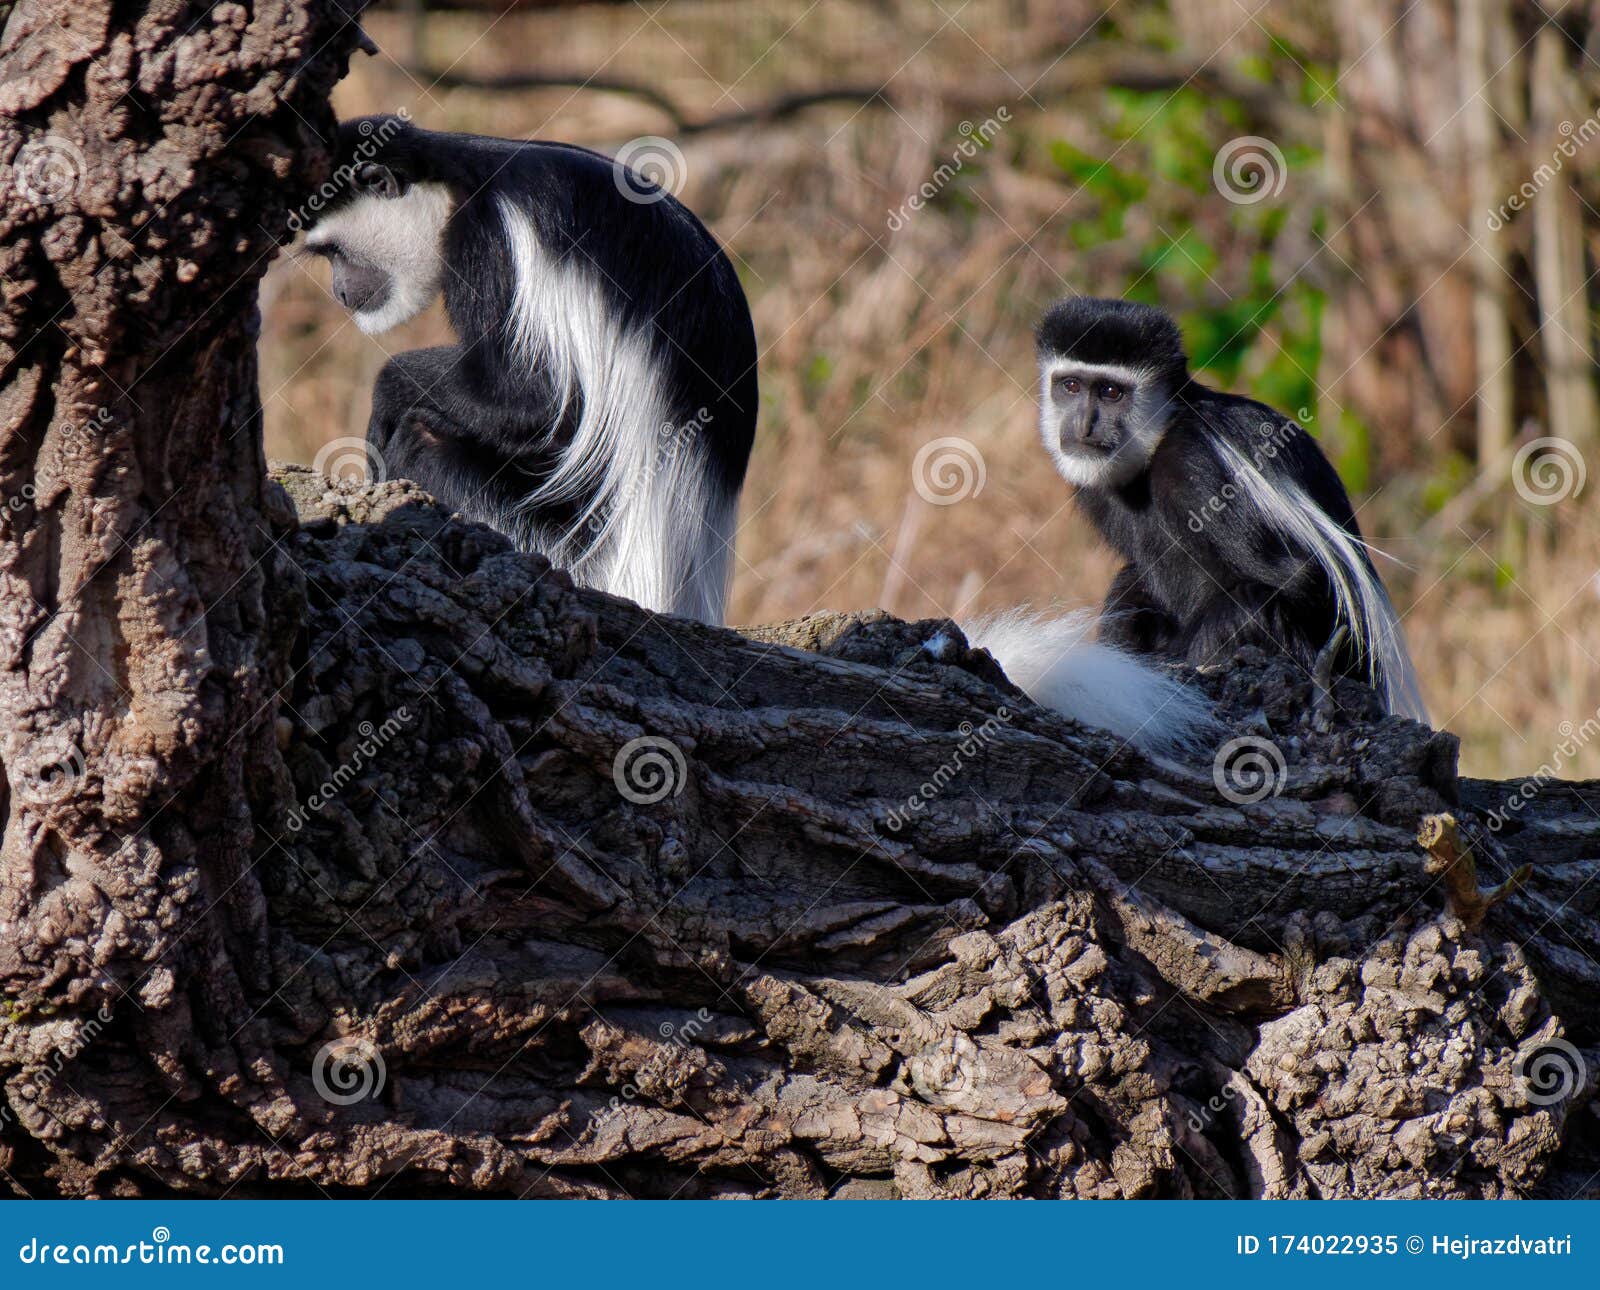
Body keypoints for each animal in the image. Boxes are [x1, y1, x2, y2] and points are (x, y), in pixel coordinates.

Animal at [300, 115, 757, 625]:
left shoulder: (490, 239)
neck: (458, 184)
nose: (340, 292)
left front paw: (387, 391)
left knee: (426, 440)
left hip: (553, 542)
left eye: (335, 252)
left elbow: (529, 402)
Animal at [1030, 295, 1427, 723]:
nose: (1084, 425)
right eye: (1071, 386)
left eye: (1110, 392)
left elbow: (1297, 578)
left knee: (1247, 606)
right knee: (1131, 583)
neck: (1159, 438)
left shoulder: (1196, 465)